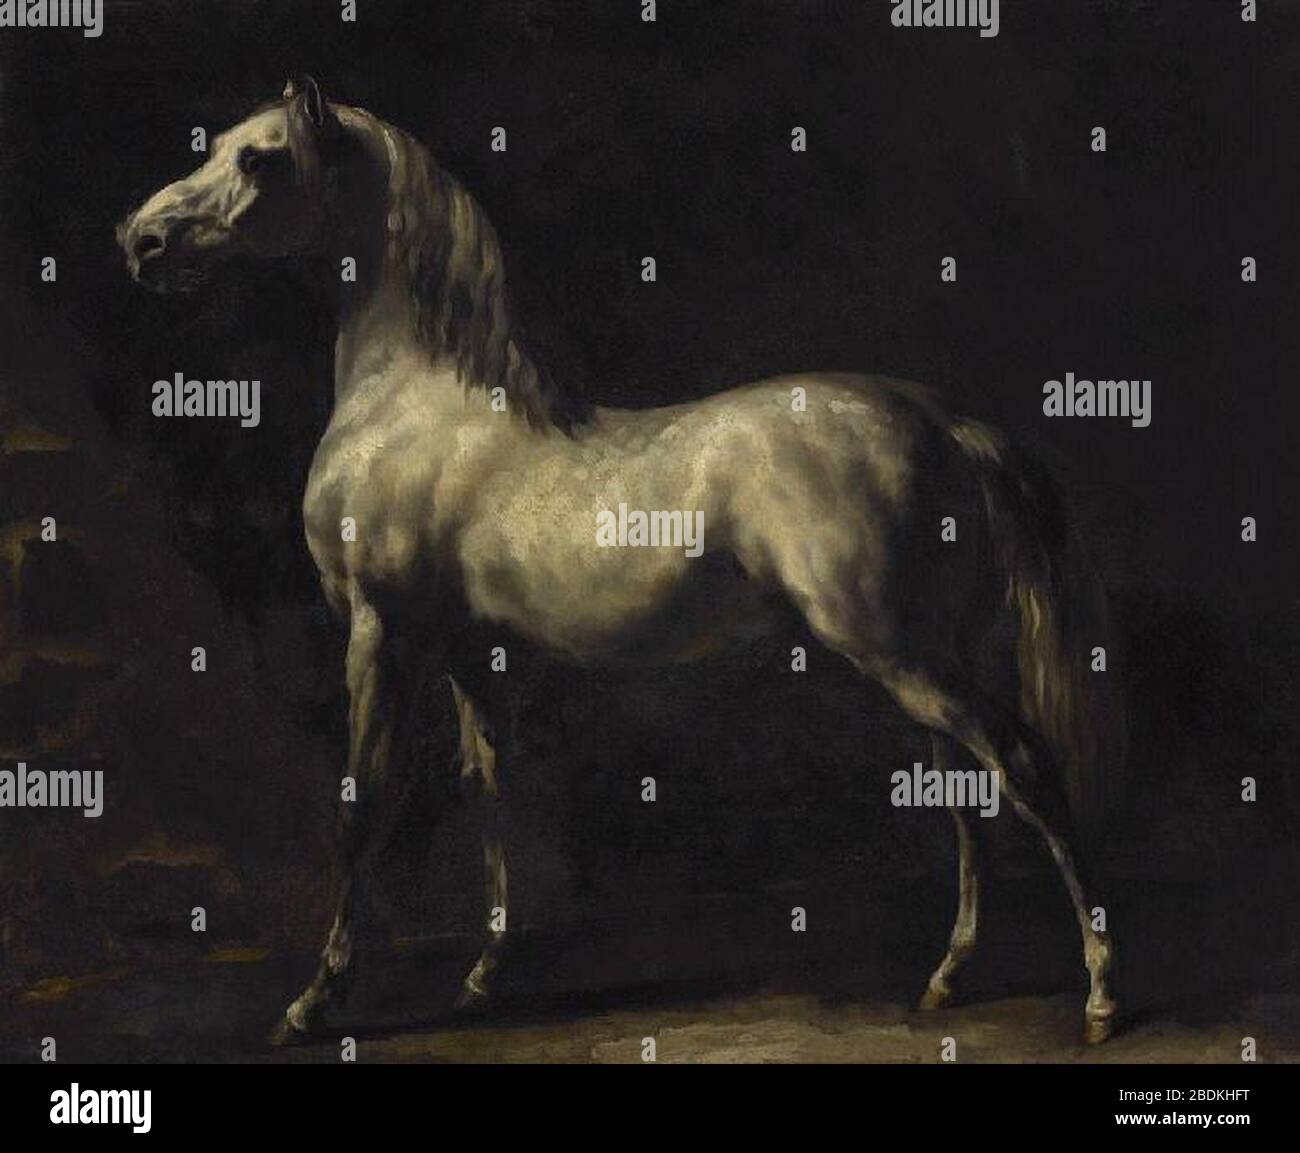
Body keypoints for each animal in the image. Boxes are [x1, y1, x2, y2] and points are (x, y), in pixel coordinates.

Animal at [118, 78, 1126, 1047]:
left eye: (260, 158)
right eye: (218, 145)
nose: (140, 240)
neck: (413, 402)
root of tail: (946, 422)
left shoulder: (382, 633)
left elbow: (360, 807)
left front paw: (312, 1002)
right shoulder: (464, 649)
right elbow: (488, 785)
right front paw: (481, 979)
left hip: (899, 655)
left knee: (1025, 766)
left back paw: (1101, 996)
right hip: (919, 663)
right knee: (966, 792)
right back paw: (947, 978)